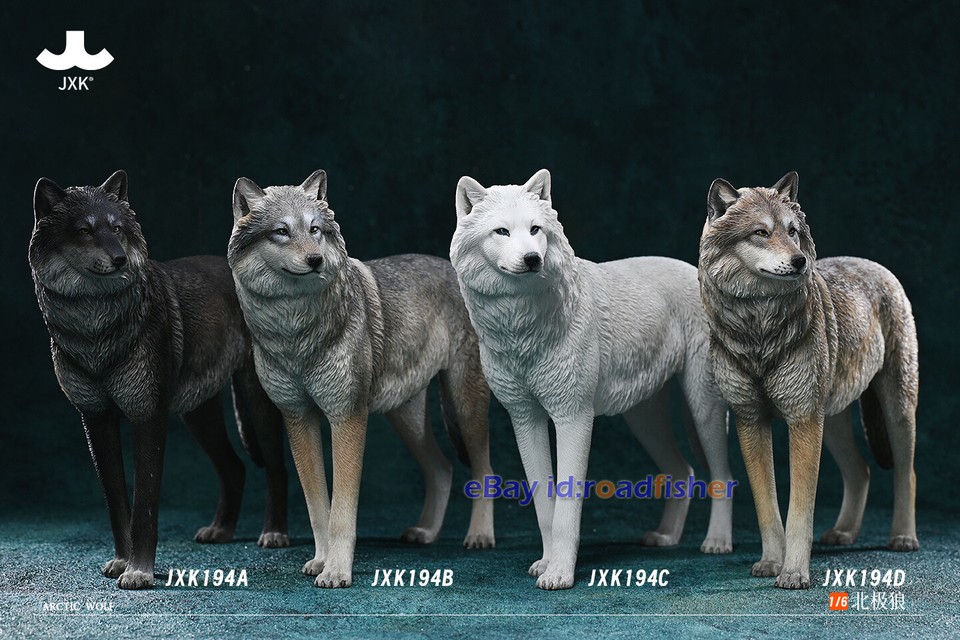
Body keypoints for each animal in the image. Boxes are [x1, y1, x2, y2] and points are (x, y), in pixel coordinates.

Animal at [29, 171, 289, 590]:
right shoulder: (96, 419)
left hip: (256, 401)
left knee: (277, 467)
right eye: (84, 231)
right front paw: (121, 562)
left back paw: (274, 534)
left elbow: (145, 504)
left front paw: (139, 572)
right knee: (234, 468)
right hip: (198, 415)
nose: (119, 258)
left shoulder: (147, 417)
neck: (95, 327)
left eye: (117, 229)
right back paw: (220, 531)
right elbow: (116, 501)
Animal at [228, 170, 496, 589]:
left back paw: (480, 536)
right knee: (443, 468)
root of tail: (458, 272)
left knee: (485, 469)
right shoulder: (299, 419)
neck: (294, 333)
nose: (316, 259)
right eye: (281, 232)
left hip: (465, 405)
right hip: (406, 418)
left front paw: (337, 571)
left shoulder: (347, 417)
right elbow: (317, 506)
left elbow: (341, 510)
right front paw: (320, 562)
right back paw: (425, 532)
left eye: (315, 230)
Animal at [450, 169, 734, 590]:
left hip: (704, 409)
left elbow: (566, 510)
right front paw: (546, 563)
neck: (520, 328)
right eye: (502, 231)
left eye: (535, 230)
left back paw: (717, 542)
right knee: (683, 471)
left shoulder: (573, 417)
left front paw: (560, 574)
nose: (532, 259)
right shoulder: (525, 419)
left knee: (722, 475)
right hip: (644, 419)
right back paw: (666, 538)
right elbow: (545, 507)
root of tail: (694, 270)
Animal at [698, 172, 919, 589]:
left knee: (906, 471)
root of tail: (876, 265)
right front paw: (772, 562)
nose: (800, 261)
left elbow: (799, 509)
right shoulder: (753, 421)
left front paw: (795, 572)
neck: (759, 330)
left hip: (895, 411)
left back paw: (903, 537)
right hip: (831, 422)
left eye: (793, 231)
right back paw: (843, 533)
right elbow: (767, 505)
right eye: (761, 233)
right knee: (861, 471)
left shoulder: (802, 421)